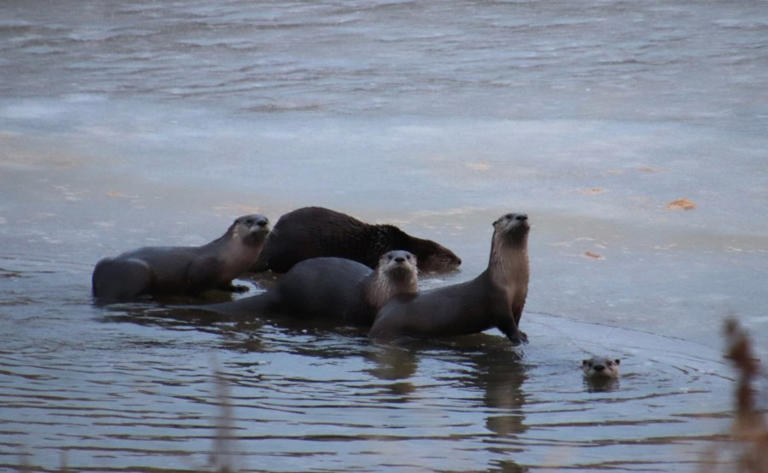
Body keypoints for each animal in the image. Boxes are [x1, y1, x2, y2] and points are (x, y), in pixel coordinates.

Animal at [92, 214, 270, 301]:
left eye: (266, 219)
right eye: (249, 220)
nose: (262, 222)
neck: (229, 258)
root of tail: (99, 279)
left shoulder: (227, 276)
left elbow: (226, 284)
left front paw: (239, 287)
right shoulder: (201, 267)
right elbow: (193, 285)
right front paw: (200, 297)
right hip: (138, 270)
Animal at [368, 212, 530, 345]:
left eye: (525, 215)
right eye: (509, 216)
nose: (522, 217)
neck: (512, 279)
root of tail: (379, 318)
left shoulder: (520, 301)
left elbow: (516, 320)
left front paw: (522, 333)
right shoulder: (498, 299)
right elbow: (508, 324)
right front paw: (519, 338)